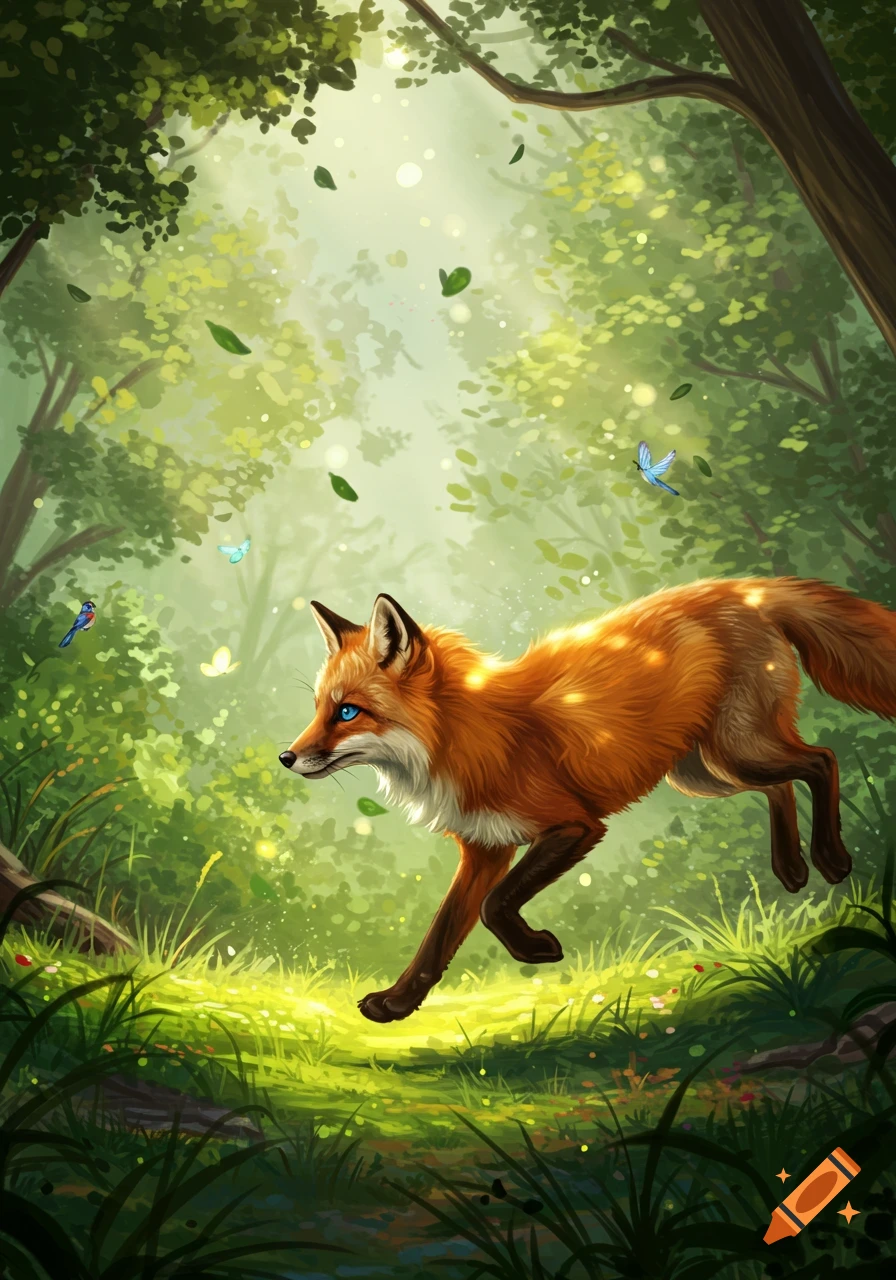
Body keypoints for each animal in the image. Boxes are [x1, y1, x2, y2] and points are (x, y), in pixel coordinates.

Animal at [278, 577, 896, 1024]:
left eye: (349, 711)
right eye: (318, 708)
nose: (287, 756)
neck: (464, 735)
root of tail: (740, 586)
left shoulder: (573, 826)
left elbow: (494, 906)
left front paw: (536, 950)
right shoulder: (484, 847)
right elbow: (440, 936)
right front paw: (398, 1004)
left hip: (733, 752)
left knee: (821, 760)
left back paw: (830, 859)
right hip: (704, 770)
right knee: (781, 783)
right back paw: (790, 869)